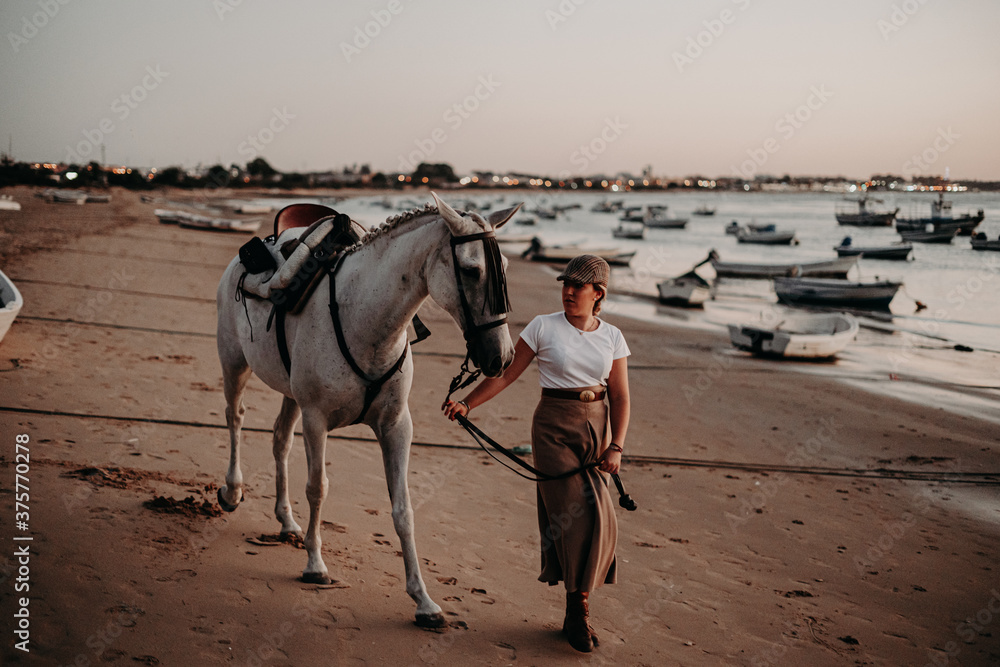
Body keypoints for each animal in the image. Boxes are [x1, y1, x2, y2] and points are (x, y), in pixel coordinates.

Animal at [215, 193, 519, 627]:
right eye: (471, 270)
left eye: (504, 269)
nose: (502, 357)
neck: (366, 319)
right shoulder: (316, 419)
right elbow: (318, 488)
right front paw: (315, 565)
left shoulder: (396, 426)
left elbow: (403, 508)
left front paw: (423, 600)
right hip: (234, 363)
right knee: (235, 418)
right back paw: (232, 490)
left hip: (290, 393)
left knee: (279, 440)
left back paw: (286, 521)